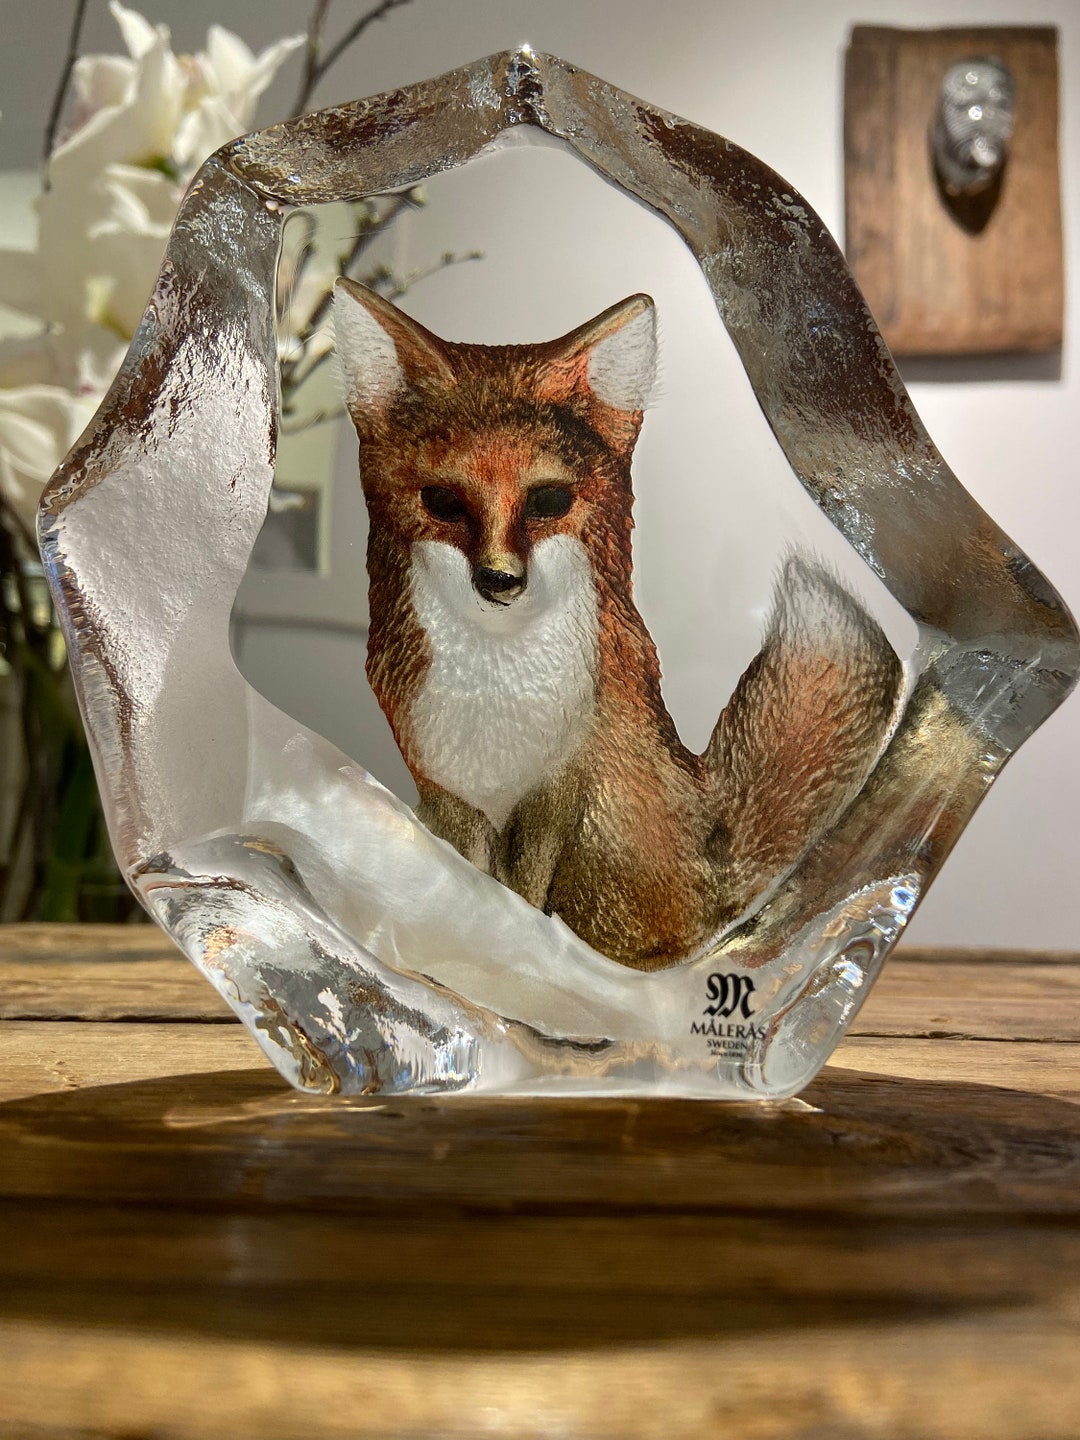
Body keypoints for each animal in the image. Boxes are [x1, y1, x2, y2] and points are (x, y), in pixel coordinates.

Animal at [334, 278, 904, 971]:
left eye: (549, 500)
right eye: (442, 502)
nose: (500, 581)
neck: (498, 689)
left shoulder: (564, 779)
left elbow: (522, 891)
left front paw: (518, 950)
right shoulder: (440, 780)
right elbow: (468, 875)